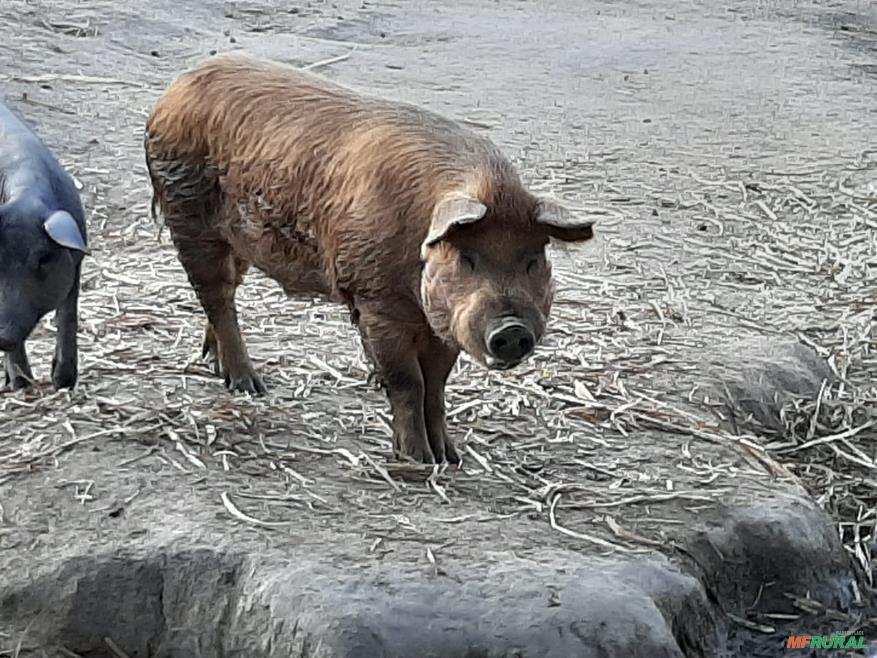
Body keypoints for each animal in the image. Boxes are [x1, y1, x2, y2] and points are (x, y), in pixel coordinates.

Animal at [0, 99, 88, 391]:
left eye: (42, 259)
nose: (3, 334)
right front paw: (21, 385)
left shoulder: (77, 259)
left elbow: (68, 316)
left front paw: (63, 383)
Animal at [144, 54, 594, 463]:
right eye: (467, 259)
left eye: (534, 259)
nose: (512, 329)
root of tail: (174, 90)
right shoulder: (376, 301)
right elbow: (408, 382)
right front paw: (417, 458)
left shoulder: (442, 321)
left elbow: (437, 386)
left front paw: (450, 457)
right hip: (187, 214)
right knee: (215, 295)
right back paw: (249, 385)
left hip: (236, 241)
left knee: (225, 296)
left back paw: (219, 365)